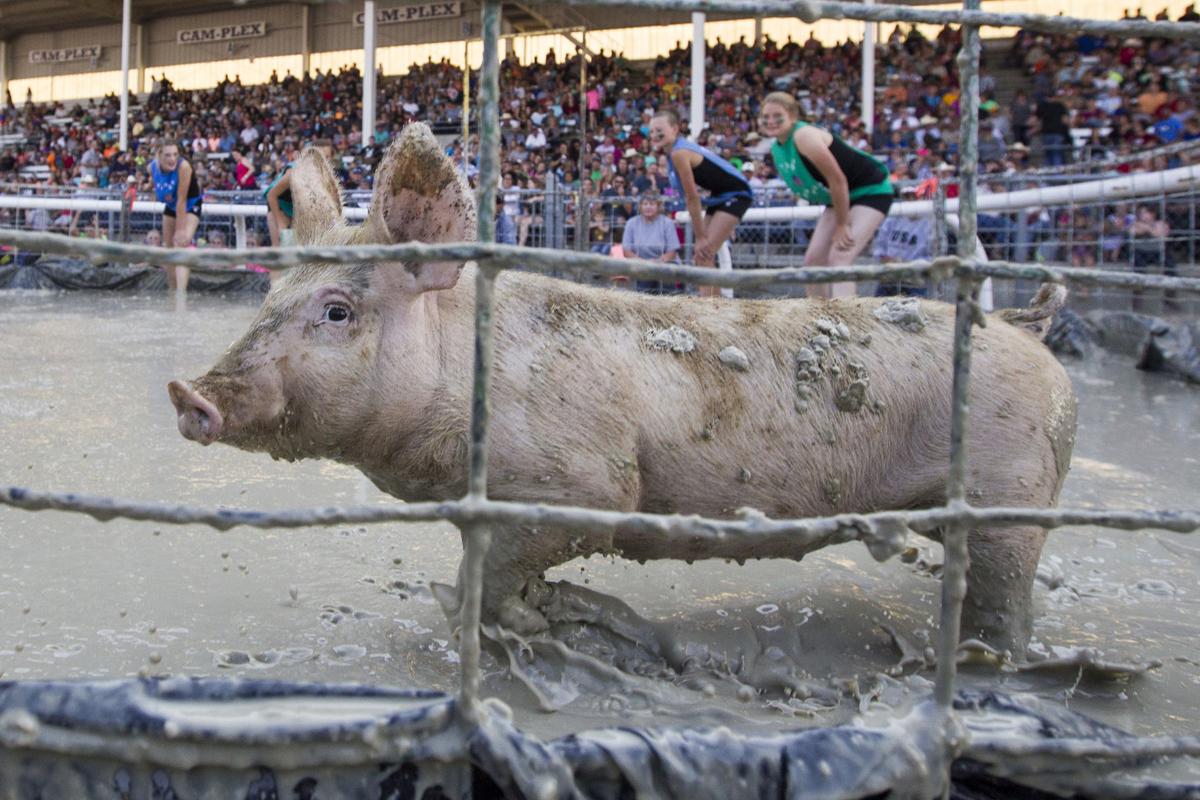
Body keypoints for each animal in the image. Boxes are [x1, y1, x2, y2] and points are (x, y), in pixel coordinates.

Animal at [168, 123, 1076, 660]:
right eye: (268, 300)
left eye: (336, 310)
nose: (188, 392)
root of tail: (1027, 327)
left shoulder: (585, 484)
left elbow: (510, 567)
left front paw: (530, 629)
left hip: (1017, 480)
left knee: (1007, 585)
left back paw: (989, 661)